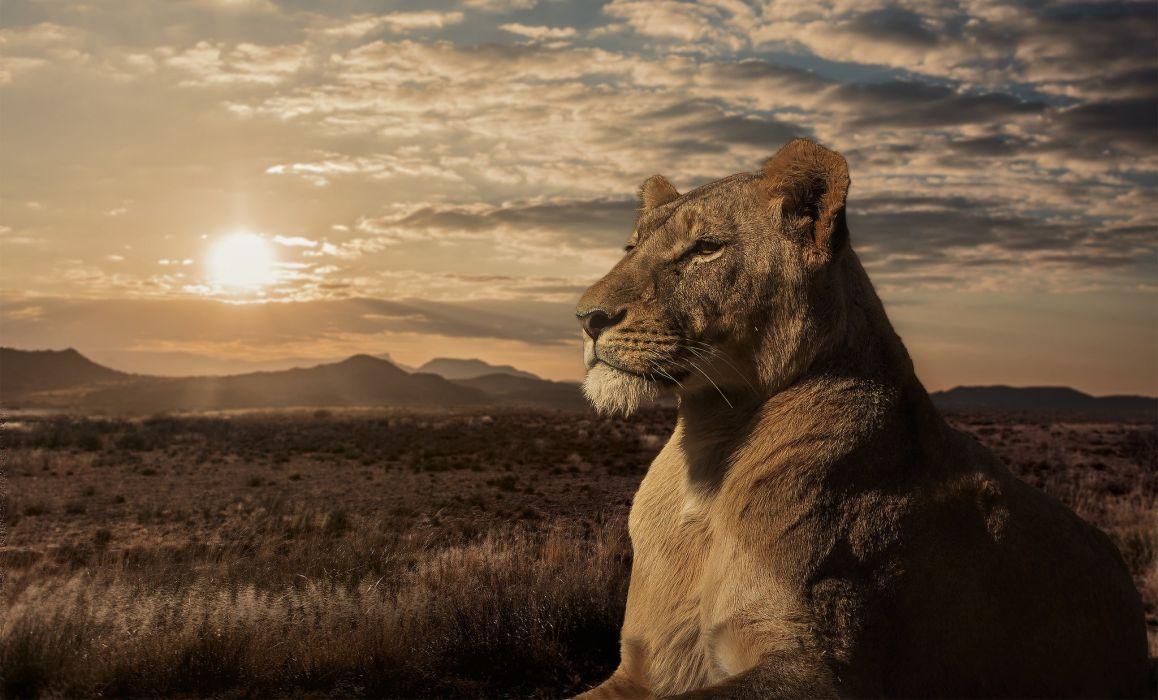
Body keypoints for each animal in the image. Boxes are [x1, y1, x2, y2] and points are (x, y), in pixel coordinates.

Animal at [573, 139, 1149, 699]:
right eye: (631, 248)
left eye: (705, 248)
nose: (586, 318)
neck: (710, 443)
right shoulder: (643, 665)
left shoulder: (820, 669)